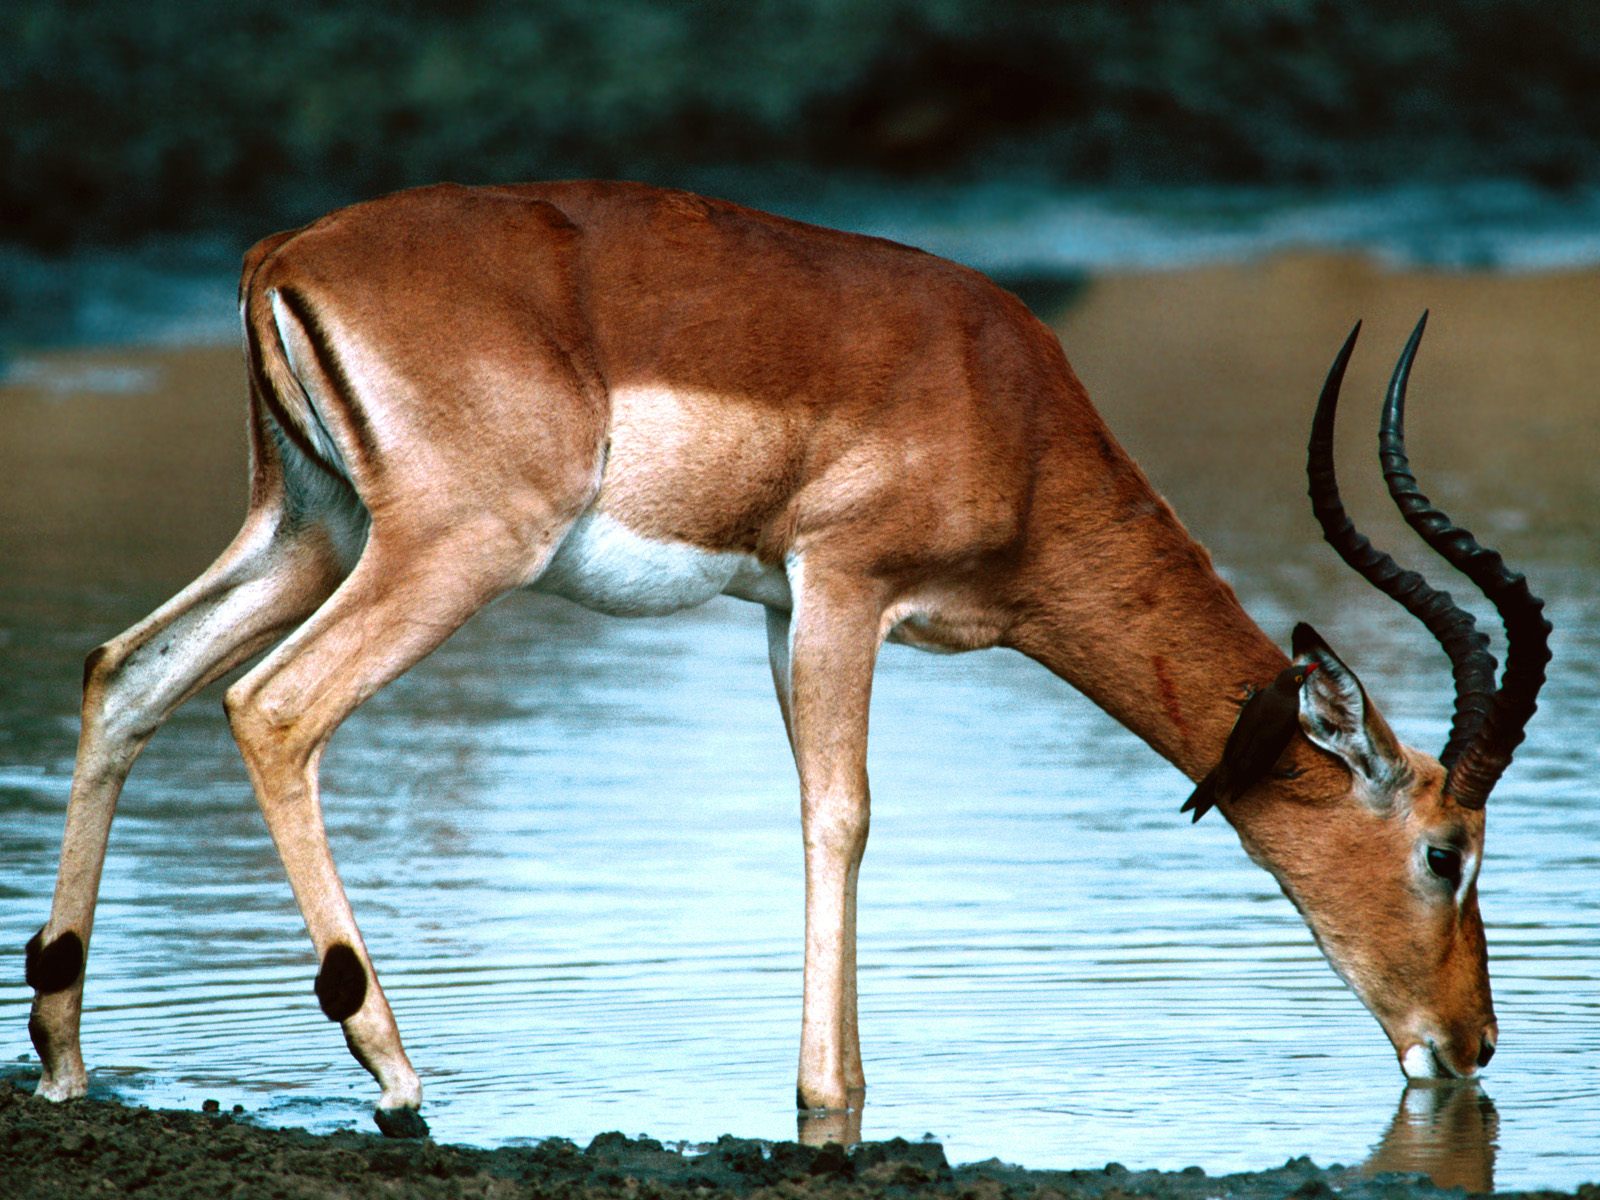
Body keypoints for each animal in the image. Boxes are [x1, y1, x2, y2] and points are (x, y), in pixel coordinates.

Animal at [25, 182, 1549, 1138]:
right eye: (1445, 852)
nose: (1471, 1048)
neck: (1016, 418)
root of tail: (284, 257)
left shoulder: (775, 608)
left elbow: (820, 812)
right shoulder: (842, 588)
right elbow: (844, 816)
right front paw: (832, 1101)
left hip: (306, 531)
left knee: (125, 673)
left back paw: (63, 1060)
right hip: (447, 552)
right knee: (273, 706)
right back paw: (392, 1071)